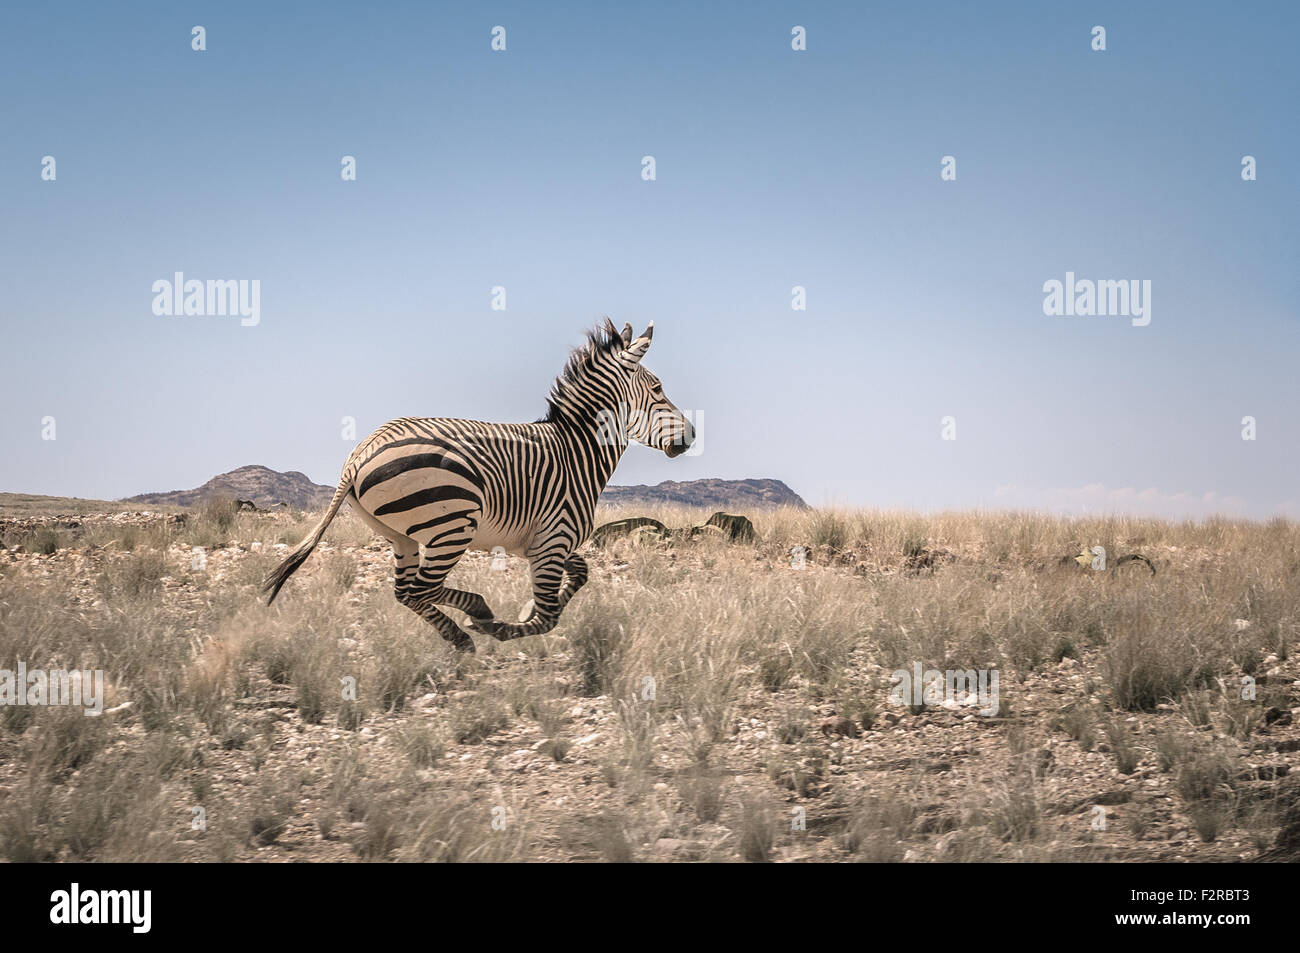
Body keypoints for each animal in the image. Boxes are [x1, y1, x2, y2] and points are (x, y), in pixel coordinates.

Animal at [262, 319, 694, 651]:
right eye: (658, 389)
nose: (691, 434)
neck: (577, 450)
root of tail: (358, 455)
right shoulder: (553, 539)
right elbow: (548, 617)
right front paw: (503, 626)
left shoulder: (544, 543)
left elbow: (580, 575)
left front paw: (520, 611)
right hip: (453, 526)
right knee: (420, 589)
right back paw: (476, 616)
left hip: (400, 535)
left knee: (406, 592)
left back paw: (460, 633)